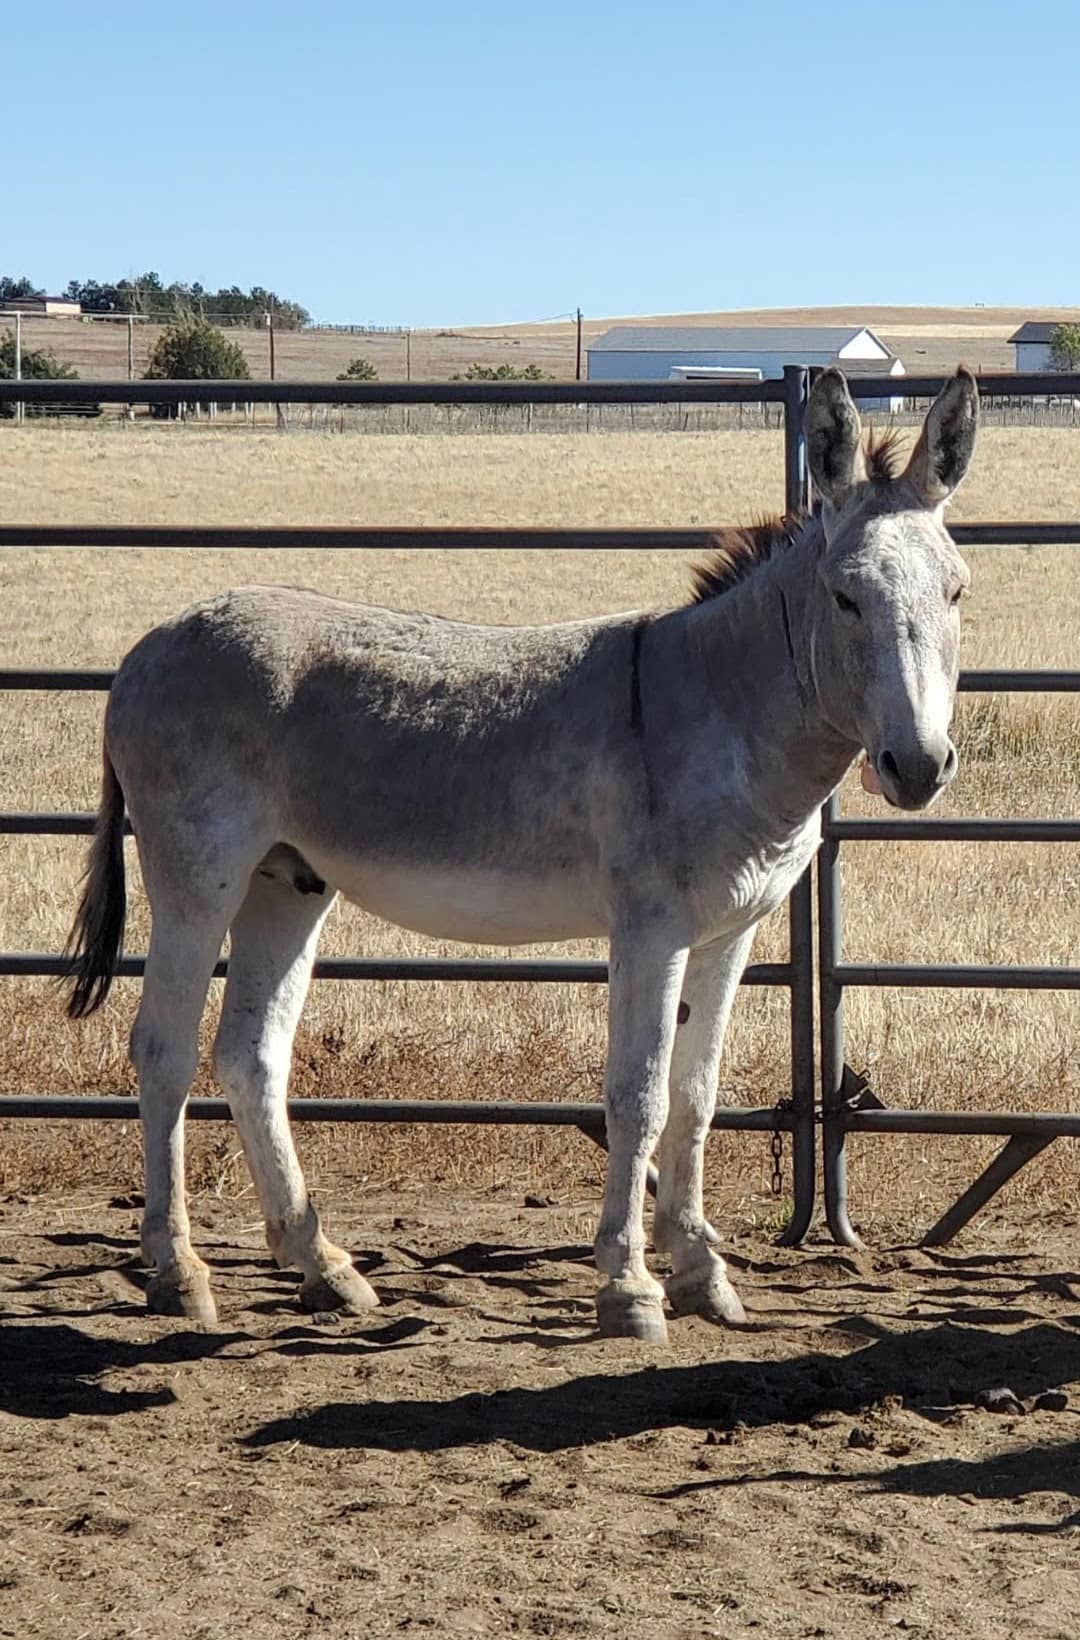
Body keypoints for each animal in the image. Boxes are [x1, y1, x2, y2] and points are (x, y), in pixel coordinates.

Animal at [64, 367, 978, 1342]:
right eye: (846, 597)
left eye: (957, 593)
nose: (918, 767)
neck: (725, 707)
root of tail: (150, 643)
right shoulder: (650, 929)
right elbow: (639, 1095)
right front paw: (629, 1287)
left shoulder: (731, 930)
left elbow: (696, 1098)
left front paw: (704, 1274)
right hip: (197, 876)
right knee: (162, 1049)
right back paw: (179, 1272)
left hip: (287, 881)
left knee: (251, 1056)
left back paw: (325, 1268)